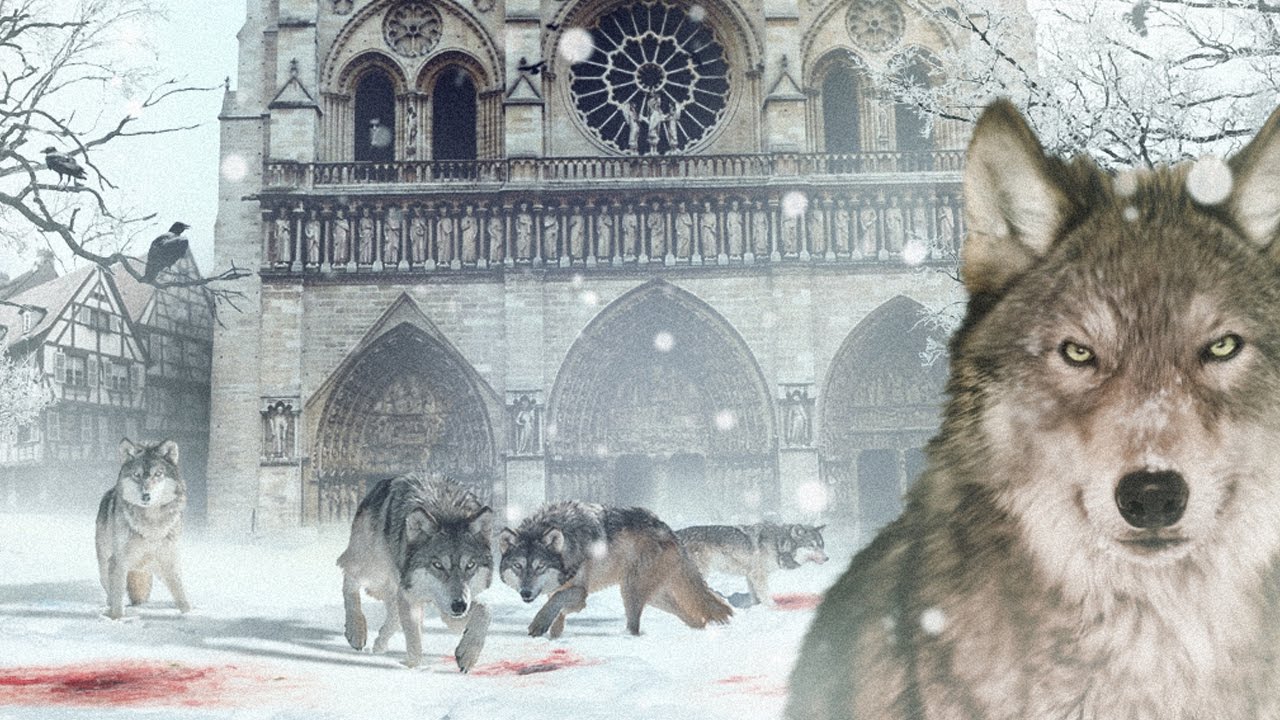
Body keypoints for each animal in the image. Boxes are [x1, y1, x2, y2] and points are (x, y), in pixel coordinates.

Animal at [94, 438, 190, 620]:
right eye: (137, 475)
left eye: (157, 474)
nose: (146, 496)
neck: (151, 525)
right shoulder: (118, 562)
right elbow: (118, 601)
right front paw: (116, 620)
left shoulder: (170, 562)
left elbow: (182, 597)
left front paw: (190, 616)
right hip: (105, 566)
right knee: (110, 592)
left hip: (158, 570)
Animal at [337, 474, 493, 671]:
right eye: (438, 565)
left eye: (470, 565)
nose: (459, 606)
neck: (447, 511)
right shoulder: (411, 597)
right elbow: (414, 642)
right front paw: (413, 668)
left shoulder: (449, 610)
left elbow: (485, 609)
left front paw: (468, 654)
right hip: (372, 570)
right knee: (349, 581)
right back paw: (356, 631)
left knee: (394, 614)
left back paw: (380, 643)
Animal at [499, 501, 733, 638]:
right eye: (518, 566)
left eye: (540, 567)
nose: (525, 593)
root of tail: (671, 532)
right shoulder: (562, 590)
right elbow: (559, 610)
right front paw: (554, 633)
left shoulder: (580, 591)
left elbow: (558, 602)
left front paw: (539, 624)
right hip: (656, 598)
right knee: (696, 619)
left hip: (631, 591)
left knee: (635, 627)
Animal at [676, 522, 828, 607]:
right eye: (812, 546)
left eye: (821, 546)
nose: (827, 558)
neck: (778, 545)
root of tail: (677, 533)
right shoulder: (758, 575)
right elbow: (766, 595)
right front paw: (774, 608)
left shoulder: (750, 575)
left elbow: (755, 597)